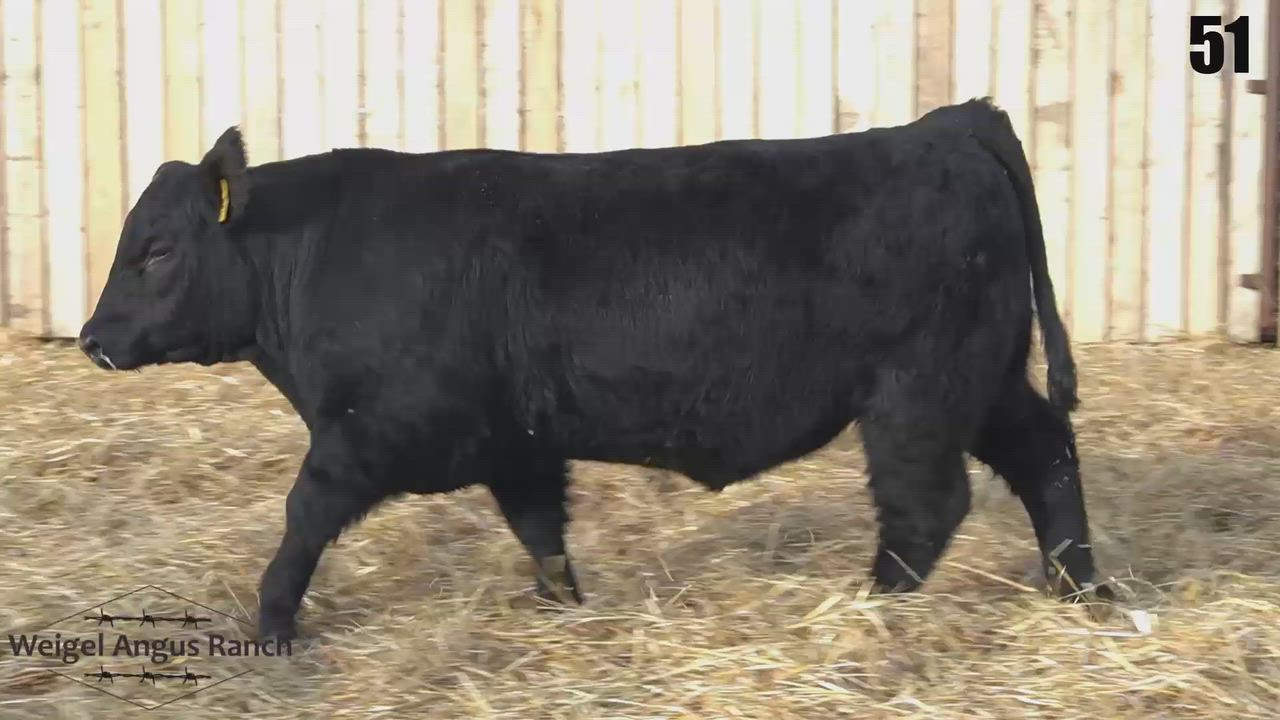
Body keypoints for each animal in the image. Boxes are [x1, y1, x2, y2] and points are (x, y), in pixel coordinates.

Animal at [78, 98, 1111, 641]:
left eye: (157, 251)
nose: (93, 337)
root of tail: (946, 123)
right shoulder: (516, 443)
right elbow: (543, 532)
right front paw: (565, 613)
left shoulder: (373, 431)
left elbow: (302, 516)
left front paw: (270, 625)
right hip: (982, 380)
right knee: (1046, 453)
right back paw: (1081, 588)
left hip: (916, 394)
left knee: (926, 505)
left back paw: (868, 610)